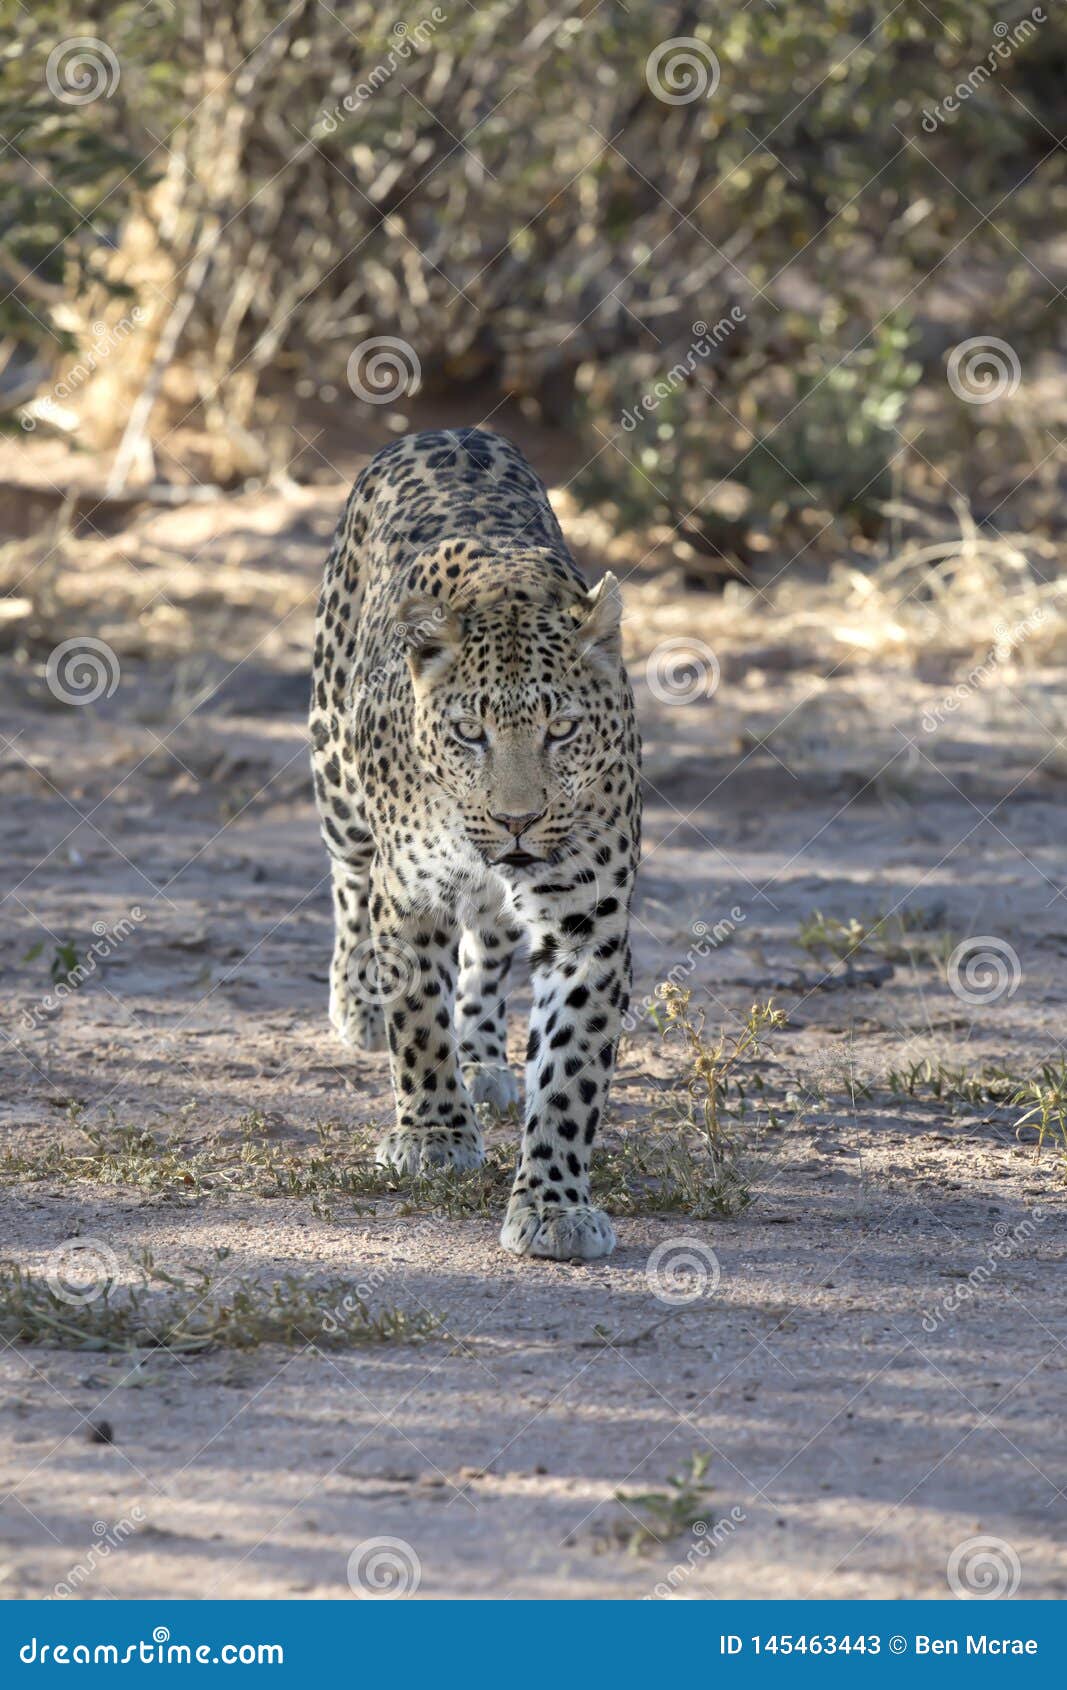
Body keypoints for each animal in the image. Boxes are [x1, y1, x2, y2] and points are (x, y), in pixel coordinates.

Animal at [309, 427, 641, 1261]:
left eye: (562, 729)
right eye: (468, 732)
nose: (518, 819)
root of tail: (445, 429)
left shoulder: (588, 921)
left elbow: (570, 1070)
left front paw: (554, 1203)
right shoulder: (411, 893)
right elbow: (417, 1016)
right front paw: (432, 1134)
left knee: (487, 941)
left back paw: (484, 1054)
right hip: (336, 777)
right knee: (347, 879)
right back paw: (357, 1001)